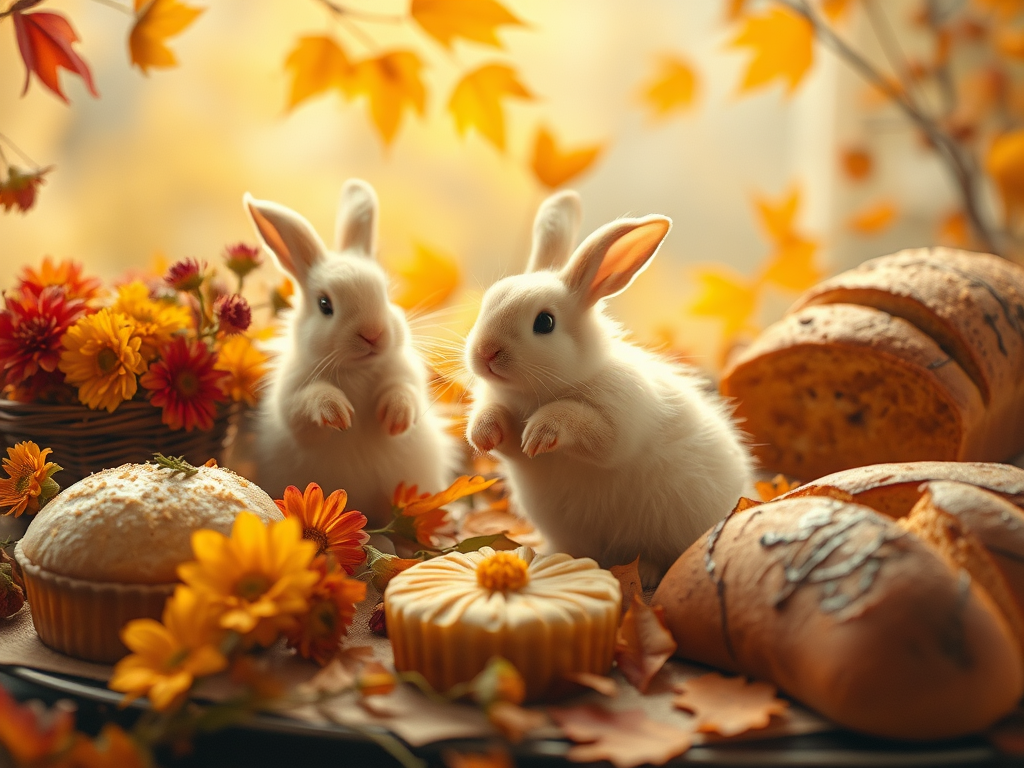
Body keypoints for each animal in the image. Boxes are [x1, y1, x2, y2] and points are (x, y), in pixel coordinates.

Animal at [244, 180, 459, 527]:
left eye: (385, 294)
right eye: (325, 305)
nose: (373, 334)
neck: (358, 369)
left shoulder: (406, 377)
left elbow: (404, 391)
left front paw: (396, 419)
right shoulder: (293, 402)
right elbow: (310, 403)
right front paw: (339, 414)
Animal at [464, 191, 753, 587]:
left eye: (545, 322)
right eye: (488, 302)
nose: (485, 353)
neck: (542, 390)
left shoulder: (616, 424)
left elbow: (582, 424)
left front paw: (539, 433)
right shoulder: (505, 419)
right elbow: (500, 427)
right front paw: (483, 436)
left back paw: (644, 572)